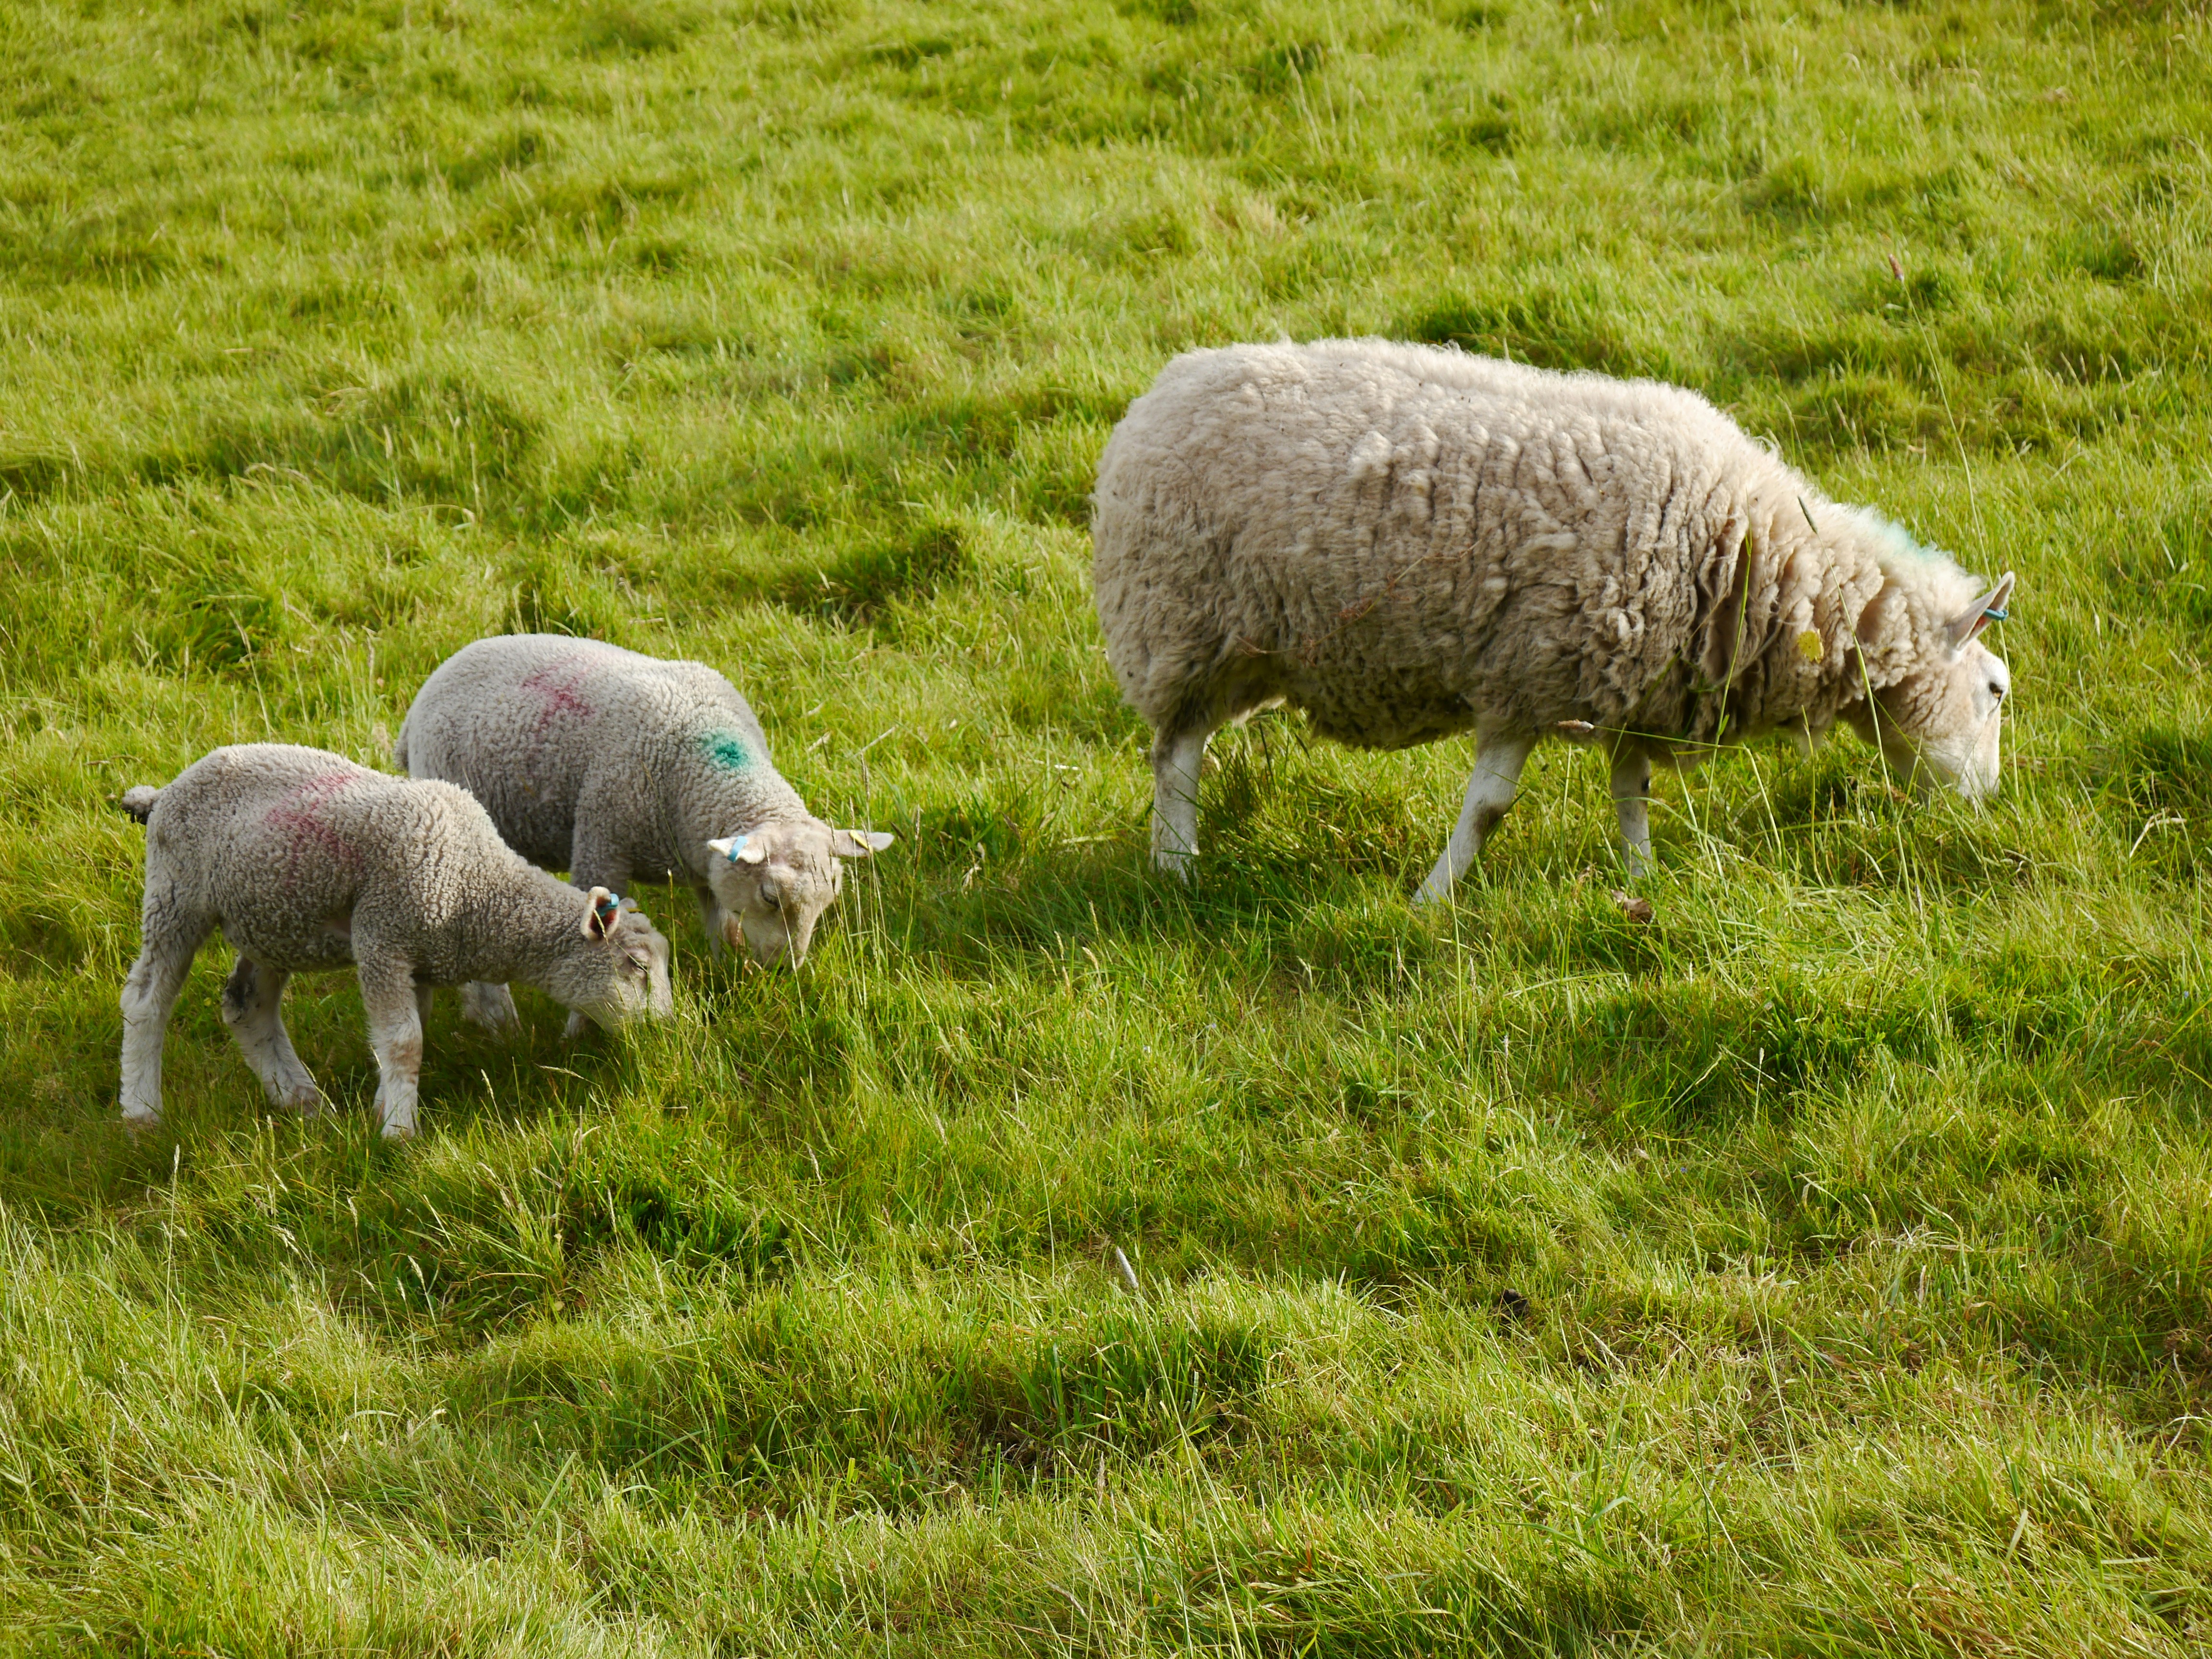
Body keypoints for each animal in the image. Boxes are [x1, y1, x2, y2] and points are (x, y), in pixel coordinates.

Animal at [116, 743, 673, 1139]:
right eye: (638, 966)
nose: (668, 1033)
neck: (478, 886)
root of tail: (164, 793)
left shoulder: (419, 961)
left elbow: (404, 1037)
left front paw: (384, 1107)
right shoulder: (383, 938)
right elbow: (406, 1041)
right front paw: (400, 1134)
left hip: (271, 921)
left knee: (247, 1007)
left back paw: (301, 1100)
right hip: (176, 896)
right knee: (146, 1001)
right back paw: (142, 1111)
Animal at [394, 636, 892, 1015]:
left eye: (829, 901)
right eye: (771, 897)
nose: (786, 968)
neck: (702, 761)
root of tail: (422, 698)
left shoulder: (703, 862)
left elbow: (722, 928)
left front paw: (726, 974)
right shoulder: (602, 843)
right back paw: (500, 1020)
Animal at [1090, 339, 2016, 899]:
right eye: (1997, 691)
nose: (1988, 804)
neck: (1753, 555)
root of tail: (1162, 388)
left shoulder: (1637, 685)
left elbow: (1631, 793)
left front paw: (1642, 883)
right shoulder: (1523, 674)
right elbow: (1491, 807)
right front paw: (1433, 898)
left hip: (1244, 649)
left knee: (1188, 745)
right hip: (1179, 624)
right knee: (1173, 757)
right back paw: (1177, 869)